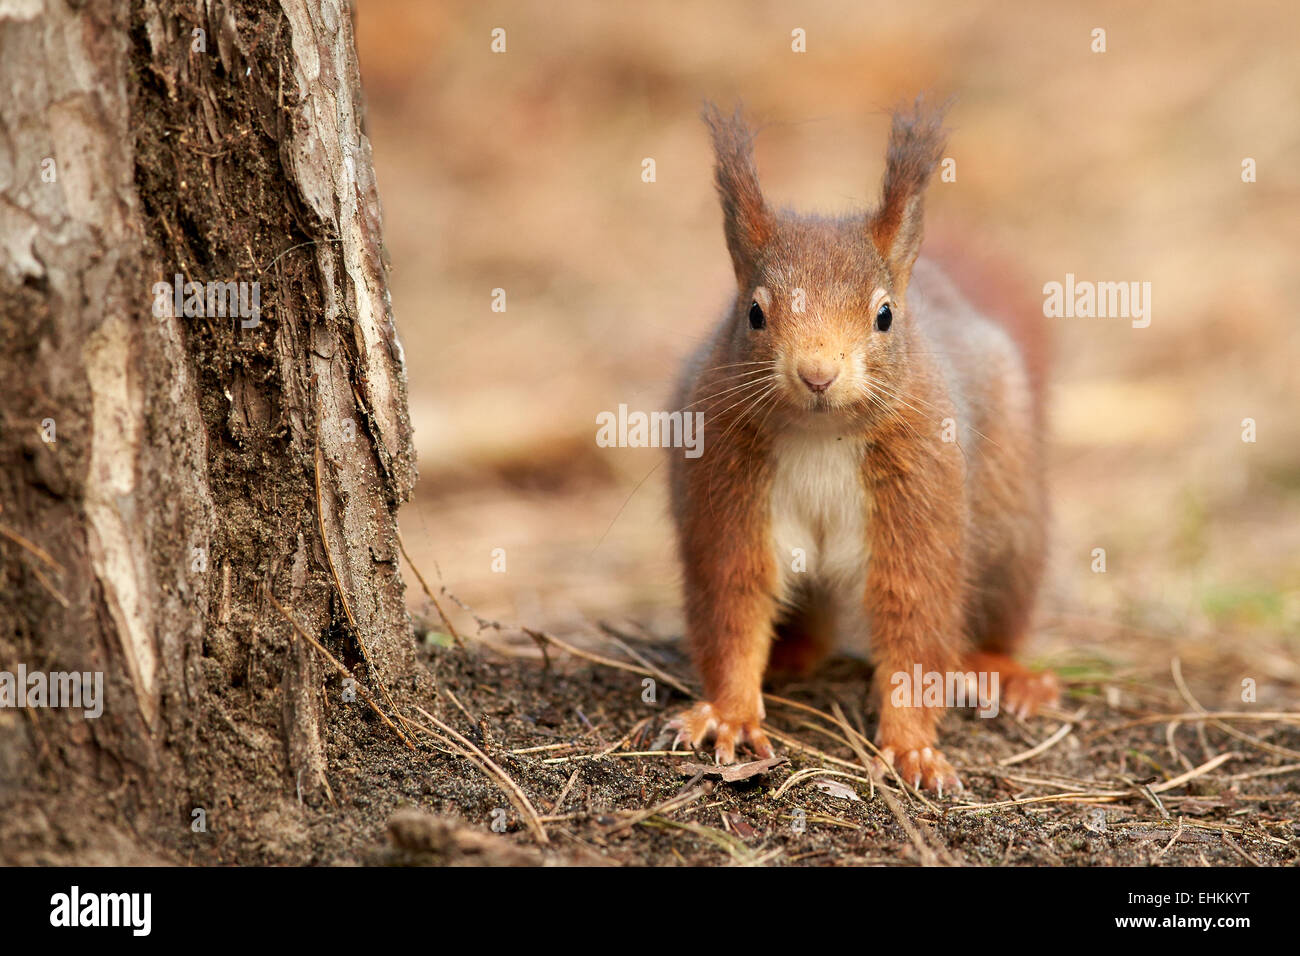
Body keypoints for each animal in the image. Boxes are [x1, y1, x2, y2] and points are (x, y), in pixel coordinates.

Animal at [666, 100, 1059, 793]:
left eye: (884, 316)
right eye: (754, 313)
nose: (818, 373)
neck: (822, 432)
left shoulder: (919, 486)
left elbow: (913, 611)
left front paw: (911, 748)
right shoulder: (724, 481)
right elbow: (733, 600)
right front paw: (730, 714)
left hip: (1012, 534)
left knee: (999, 611)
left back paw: (1006, 674)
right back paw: (789, 656)